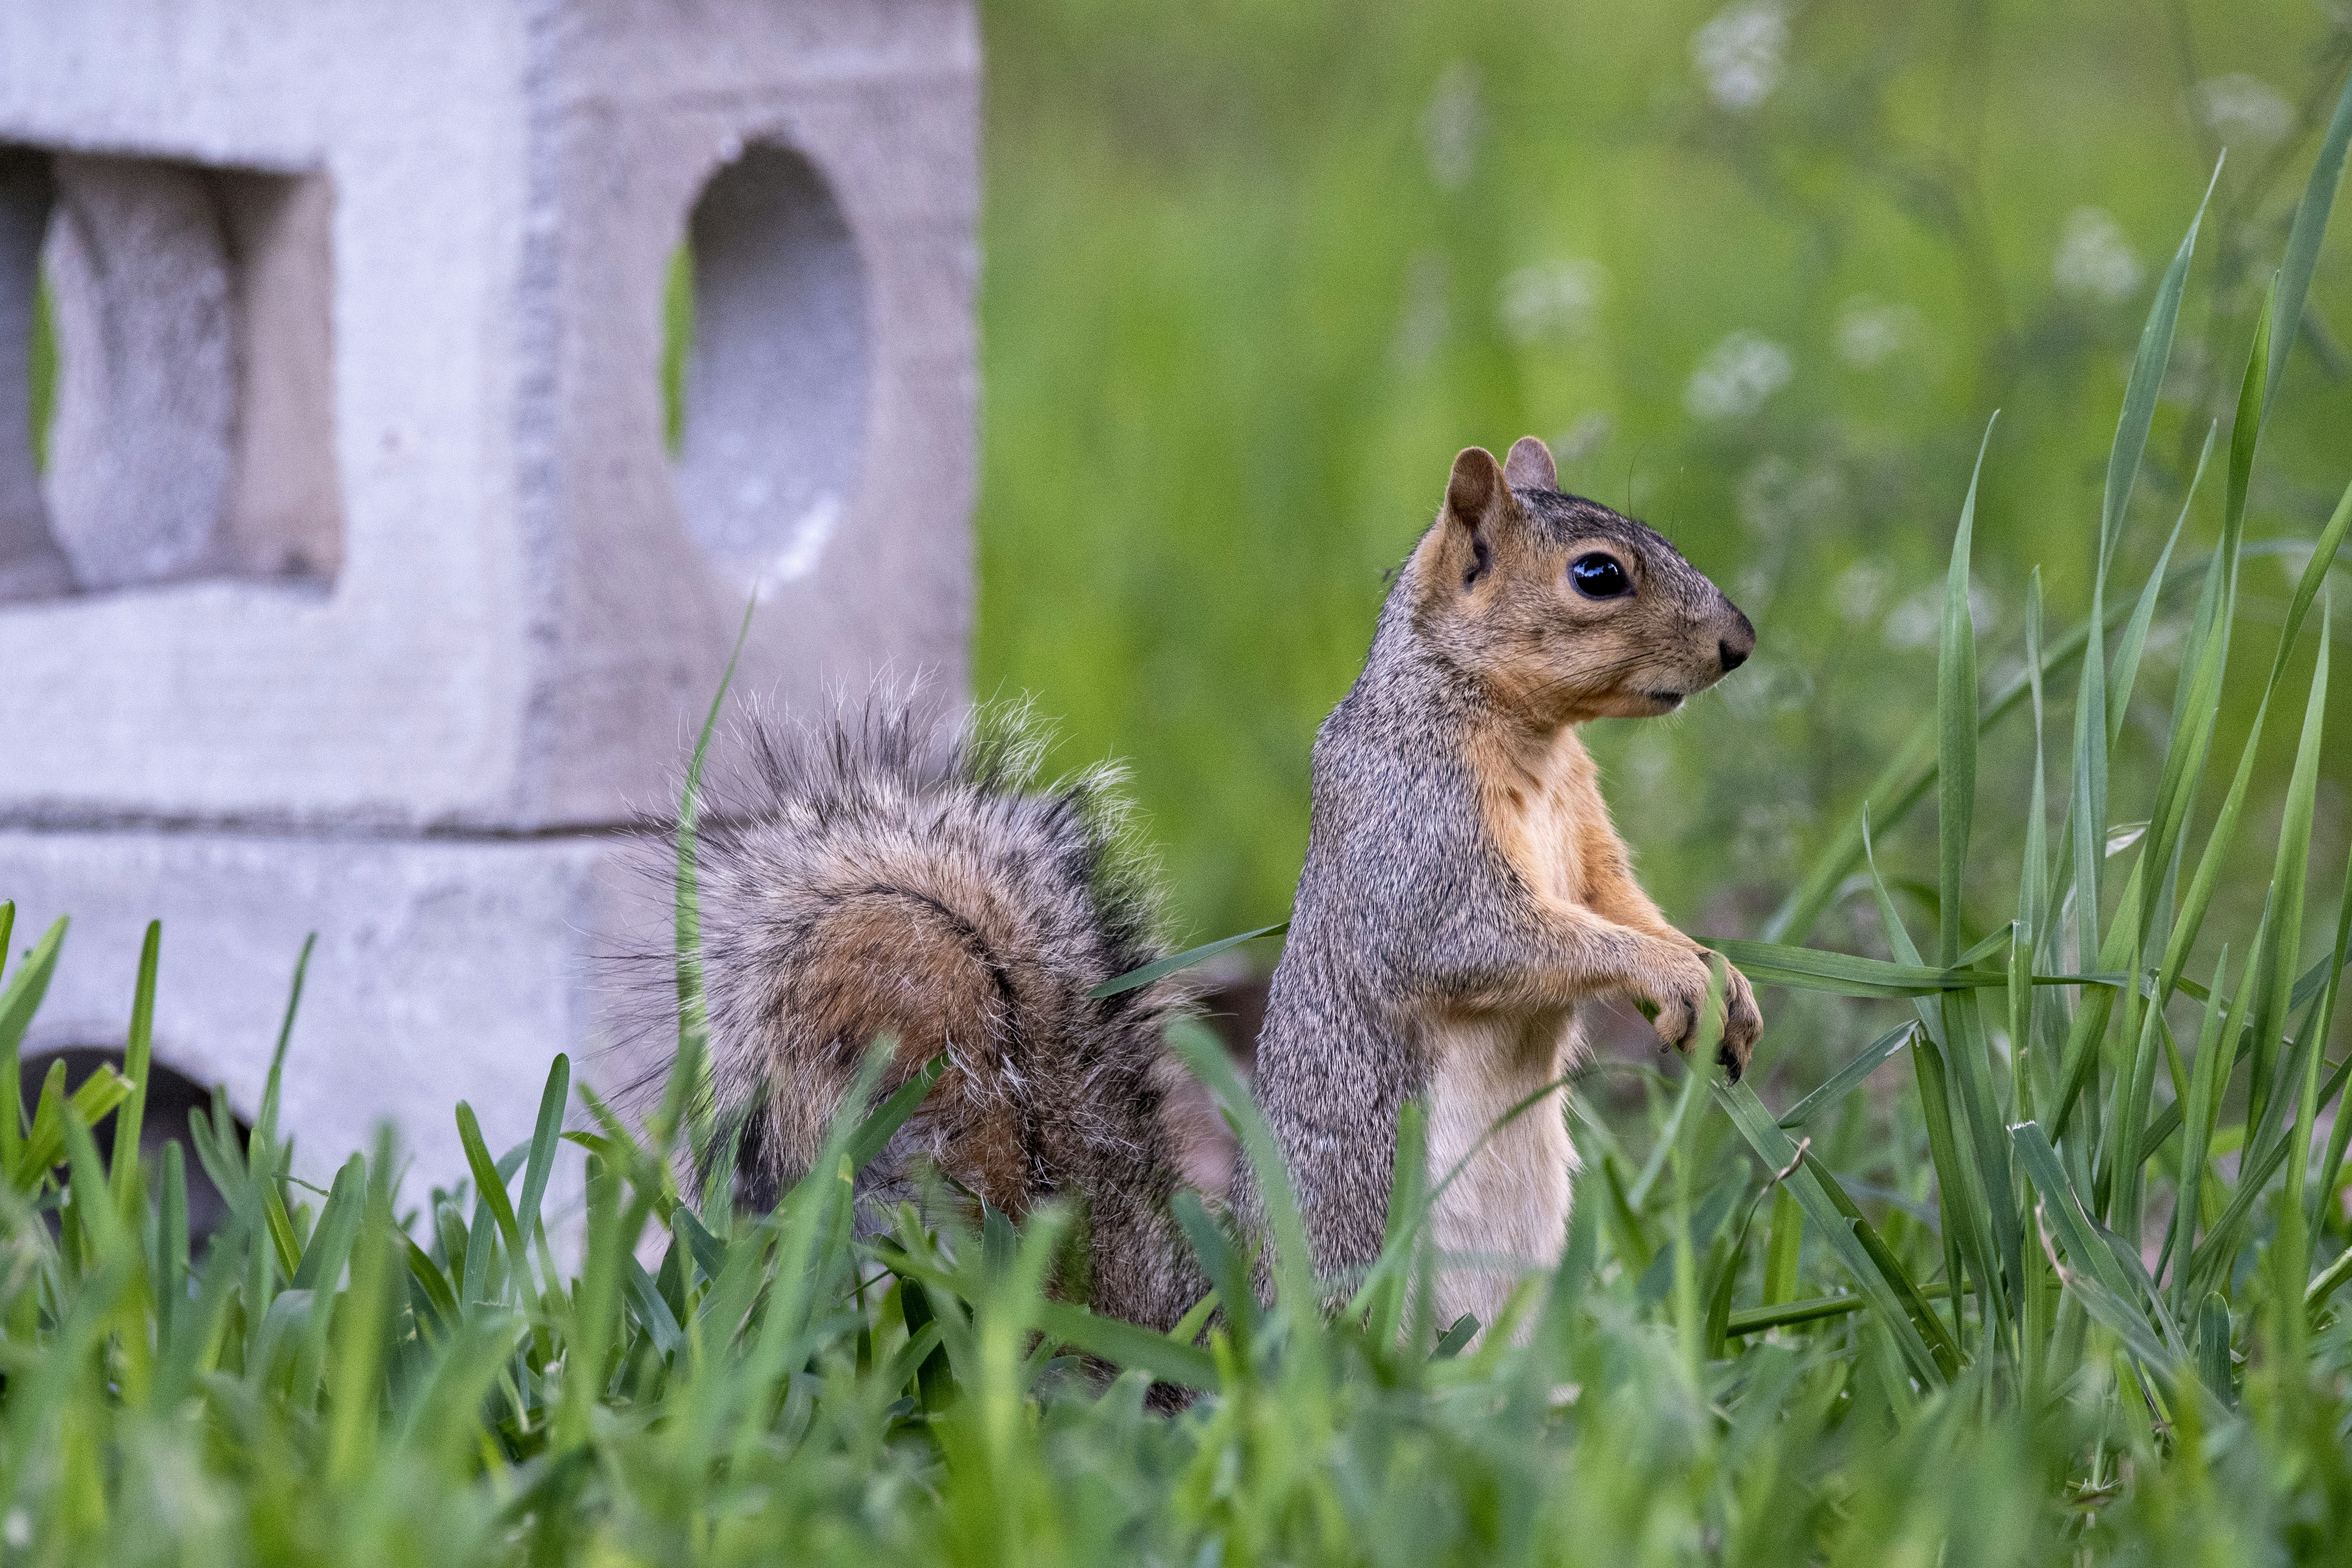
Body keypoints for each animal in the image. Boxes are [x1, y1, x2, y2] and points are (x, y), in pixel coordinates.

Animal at [679, 436, 1761, 1337]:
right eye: (1598, 575)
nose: (1740, 644)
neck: (1521, 733)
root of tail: (1209, 1347)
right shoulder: (1413, 836)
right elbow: (1479, 940)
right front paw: (1672, 975)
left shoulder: (1584, 835)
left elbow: (1618, 905)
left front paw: (1715, 973)